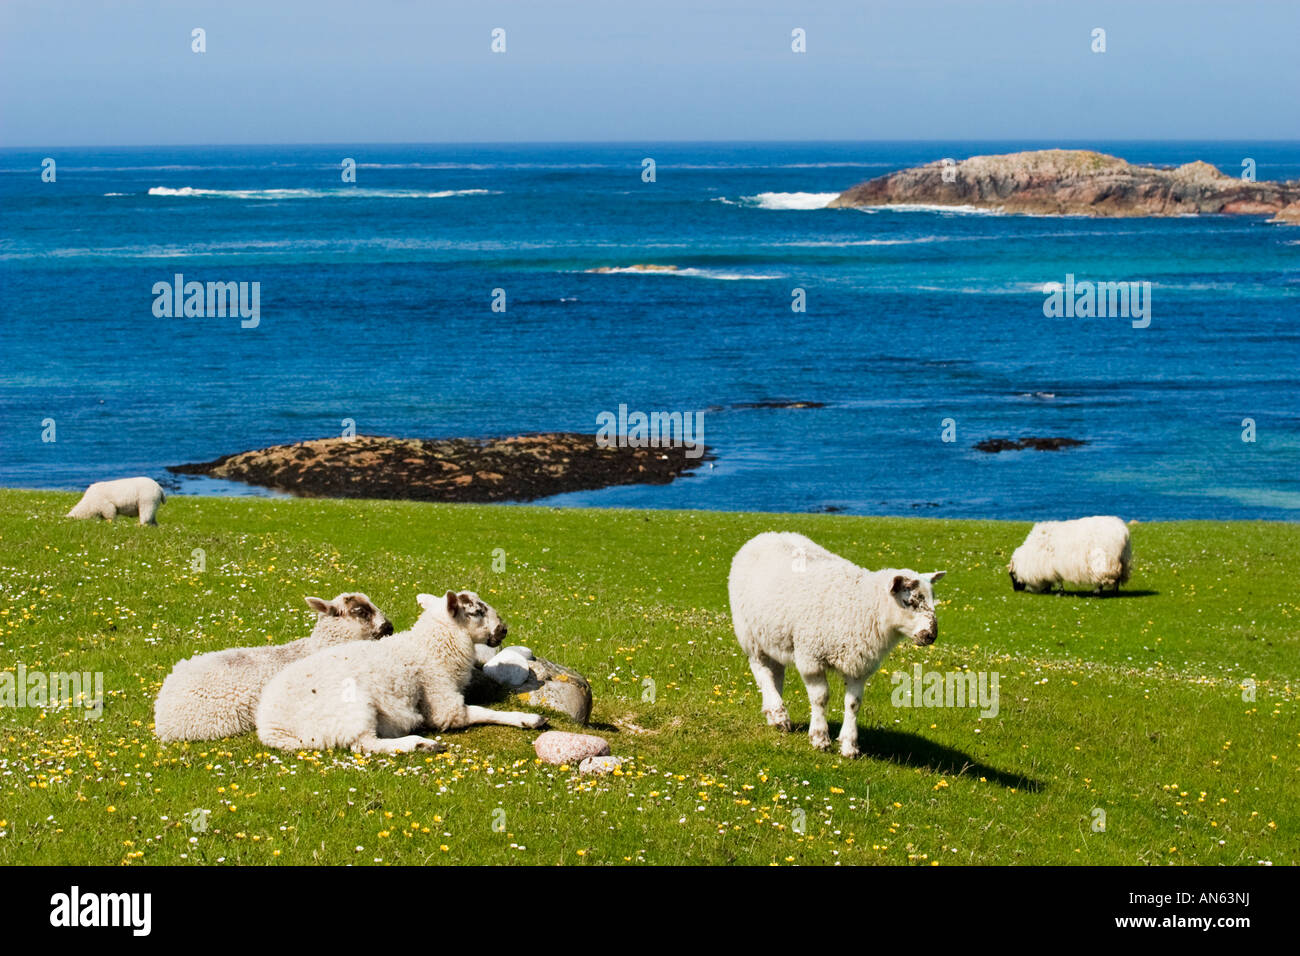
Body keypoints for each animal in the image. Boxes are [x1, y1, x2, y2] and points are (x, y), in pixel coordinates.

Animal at [256, 590, 547, 755]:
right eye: (476, 611)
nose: (504, 629)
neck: (432, 648)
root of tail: (271, 728)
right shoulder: (442, 703)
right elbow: (483, 712)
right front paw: (529, 718)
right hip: (352, 708)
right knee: (364, 744)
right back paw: (419, 744)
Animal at [728, 532, 945, 758]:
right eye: (910, 601)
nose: (931, 635)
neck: (864, 606)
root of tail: (767, 535)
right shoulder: (811, 658)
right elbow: (820, 698)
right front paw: (819, 737)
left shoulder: (859, 665)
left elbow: (853, 704)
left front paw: (849, 745)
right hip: (749, 634)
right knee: (761, 671)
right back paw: (779, 712)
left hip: (775, 636)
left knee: (775, 673)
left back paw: (775, 715)